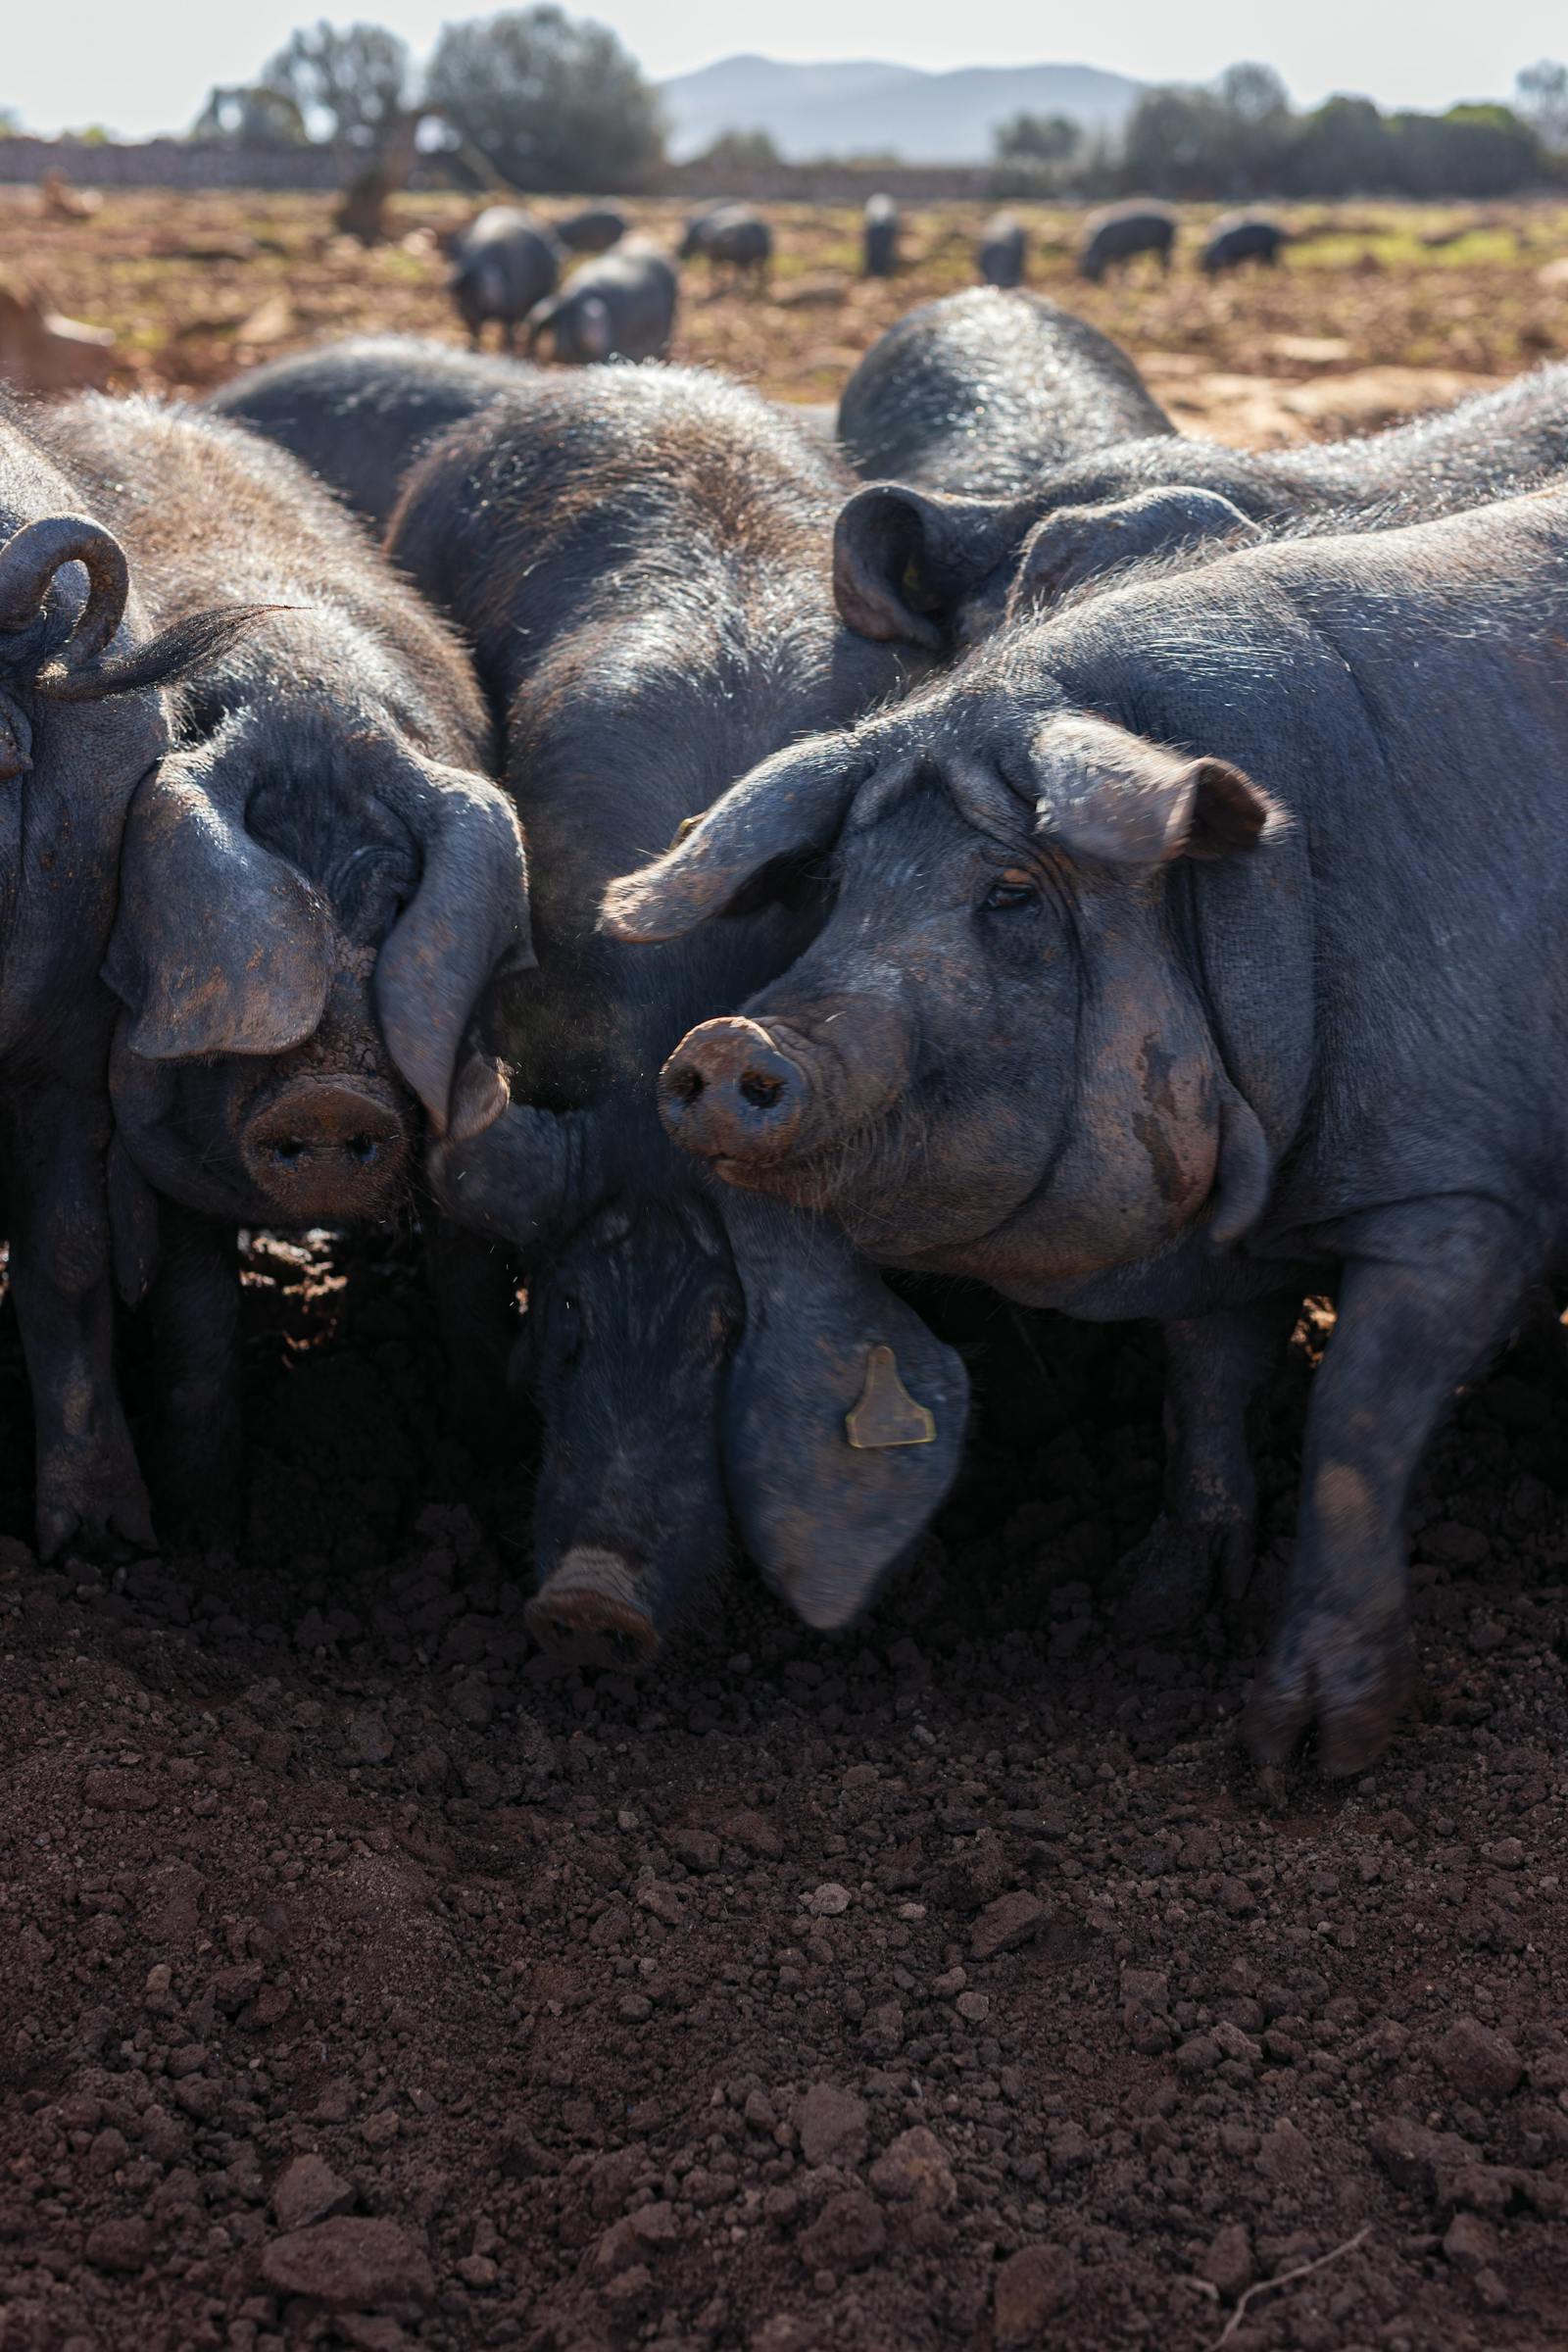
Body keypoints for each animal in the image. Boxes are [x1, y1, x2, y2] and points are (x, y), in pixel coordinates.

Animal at [35, 395, 528, 1535]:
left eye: (393, 904)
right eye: (264, 923)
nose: (329, 1098)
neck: (303, 697)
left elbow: (472, 1276)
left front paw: (491, 1464)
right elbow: (197, 1322)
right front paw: (203, 1520)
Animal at [448, 206, 560, 351]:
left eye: (497, 279)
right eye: (476, 279)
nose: (492, 295)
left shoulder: (512, 308)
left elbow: (508, 330)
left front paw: (508, 349)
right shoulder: (466, 310)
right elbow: (474, 329)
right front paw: (473, 348)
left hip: (540, 296)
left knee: (531, 322)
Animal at [604, 485, 1568, 1777]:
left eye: (1010, 894)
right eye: (840, 890)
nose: (723, 1041)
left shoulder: (1466, 1200)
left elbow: (1354, 1421)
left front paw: (1298, 1759)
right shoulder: (1225, 1231)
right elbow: (1203, 1384)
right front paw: (1145, 1614)